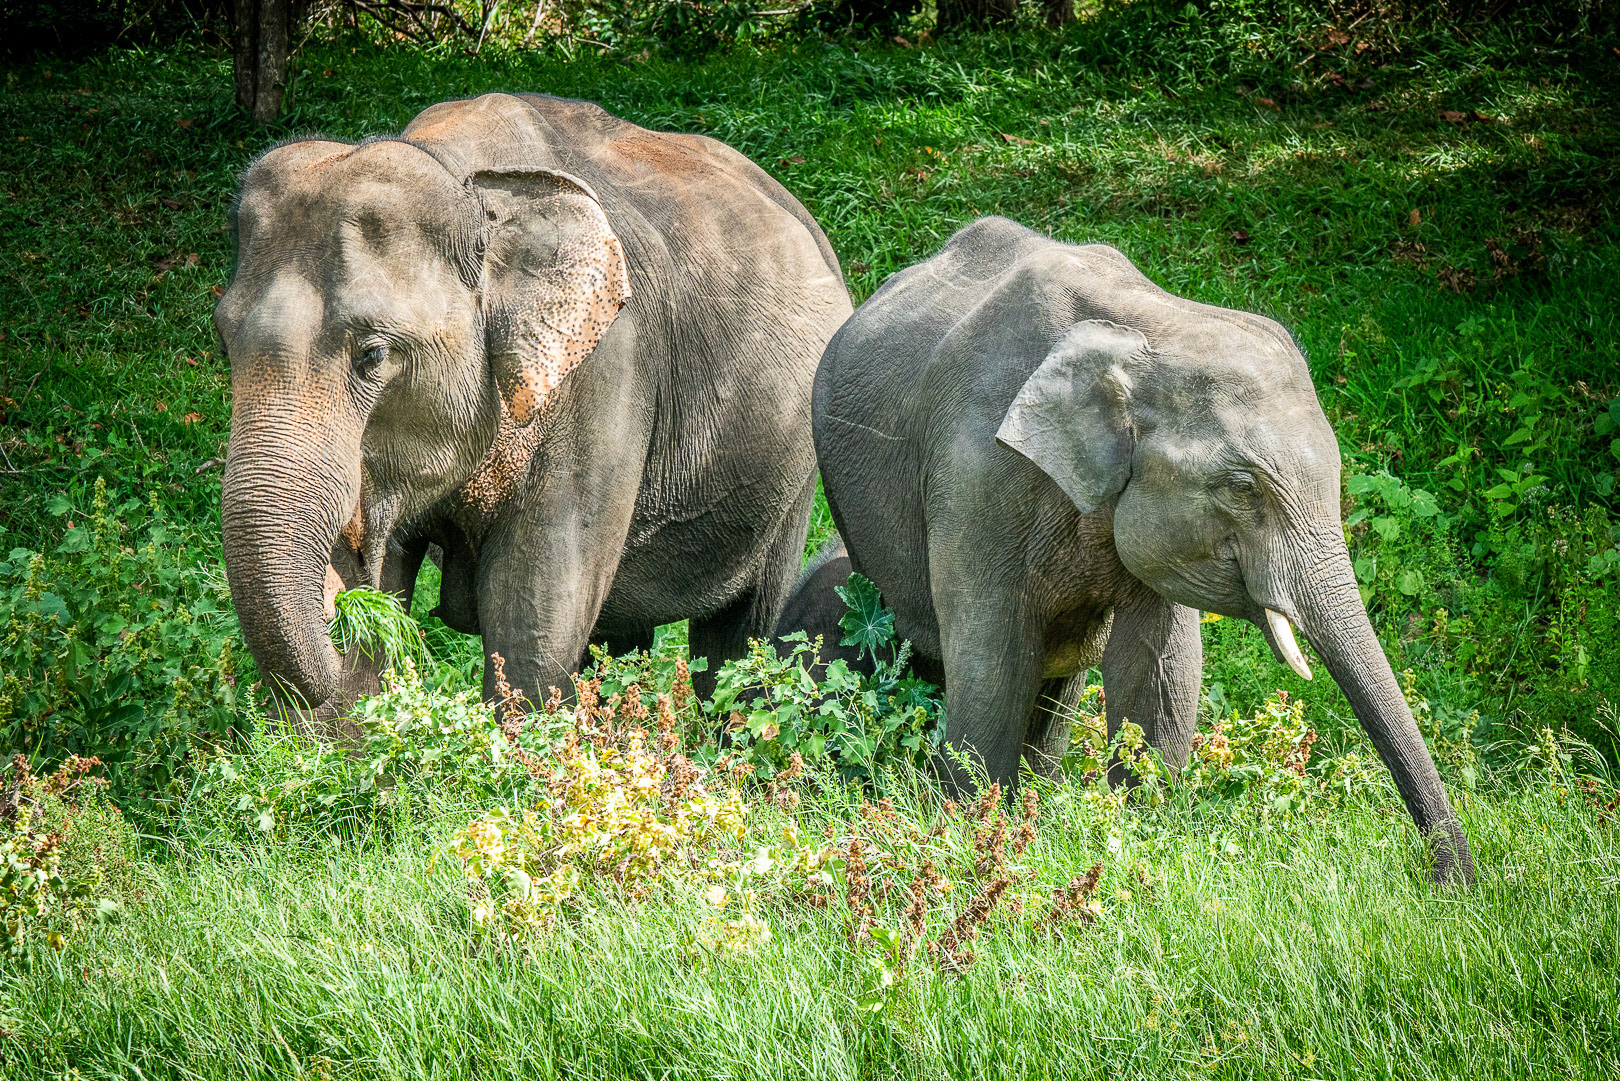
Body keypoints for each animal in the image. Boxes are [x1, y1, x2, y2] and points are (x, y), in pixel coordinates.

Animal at [215, 92, 852, 728]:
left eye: (372, 355)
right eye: (223, 342)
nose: (341, 596)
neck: (460, 175)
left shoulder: (605, 371)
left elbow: (533, 631)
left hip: (794, 473)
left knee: (738, 642)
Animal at [810, 217, 1473, 886]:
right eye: (1243, 488)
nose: (1450, 885)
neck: (1155, 329)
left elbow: (1155, 670)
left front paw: (1131, 830)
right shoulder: (974, 475)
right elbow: (992, 663)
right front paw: (974, 830)